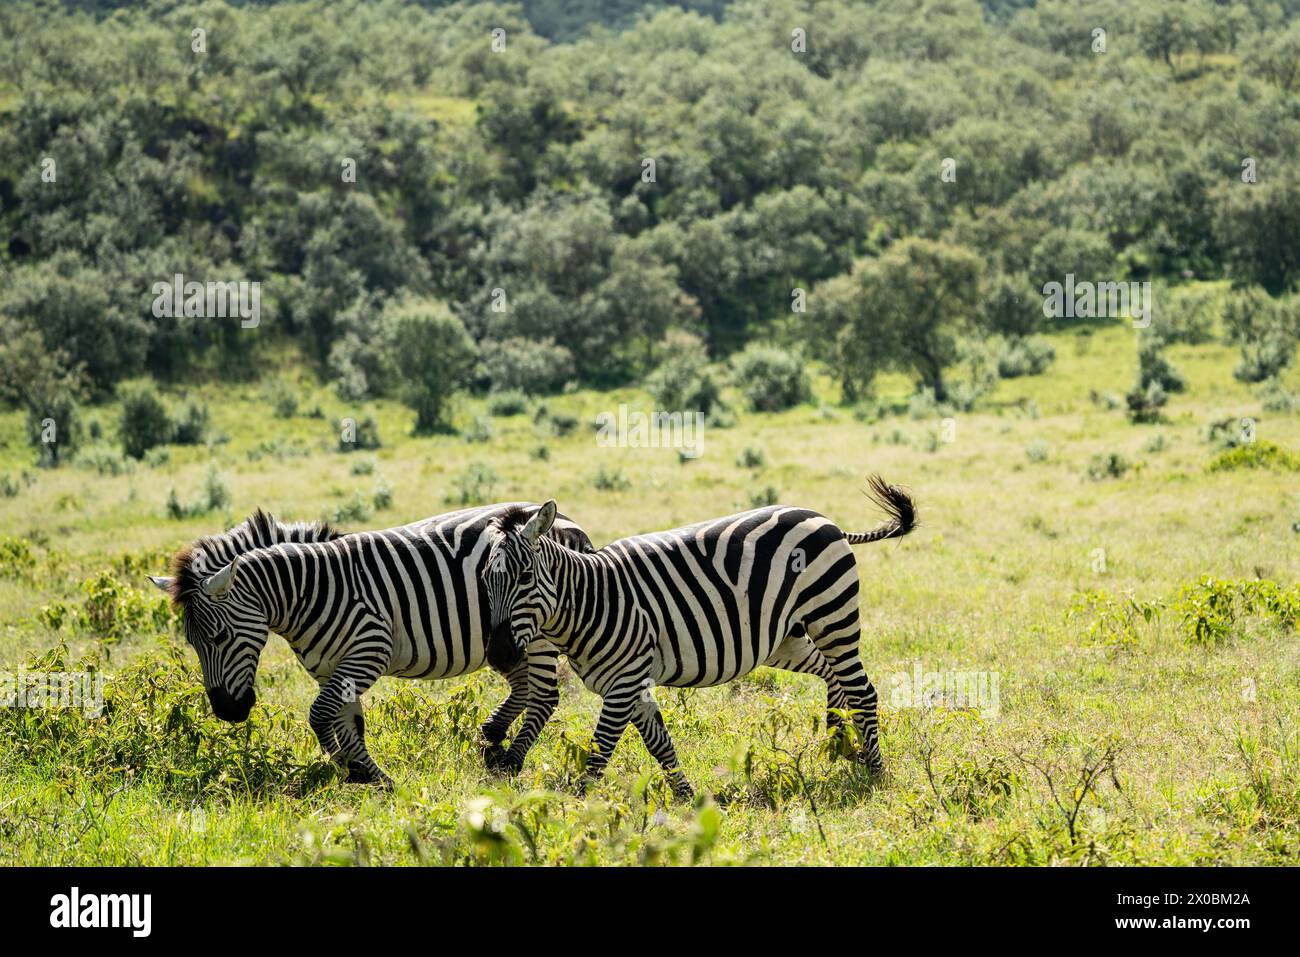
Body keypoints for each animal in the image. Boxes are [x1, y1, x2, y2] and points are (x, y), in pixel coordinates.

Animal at [148, 504, 595, 784]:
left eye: (219, 637)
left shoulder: (368, 651)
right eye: (192, 644)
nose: (228, 712)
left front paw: (351, 770)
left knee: (543, 696)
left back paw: (511, 761)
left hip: (535, 632)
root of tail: (570, 522)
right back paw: (492, 739)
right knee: (523, 687)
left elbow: (319, 716)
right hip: (507, 642)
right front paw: (366, 775)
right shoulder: (331, 669)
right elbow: (349, 724)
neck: (311, 589)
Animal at [481, 476, 916, 799]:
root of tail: (828, 521)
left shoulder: (623, 682)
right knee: (833, 674)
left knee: (863, 690)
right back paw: (841, 740)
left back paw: (874, 769)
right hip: (787, 638)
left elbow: (600, 750)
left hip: (833, 615)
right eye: (485, 580)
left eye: (525, 577)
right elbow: (659, 742)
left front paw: (581, 809)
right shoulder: (632, 684)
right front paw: (686, 797)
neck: (590, 603)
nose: (499, 654)